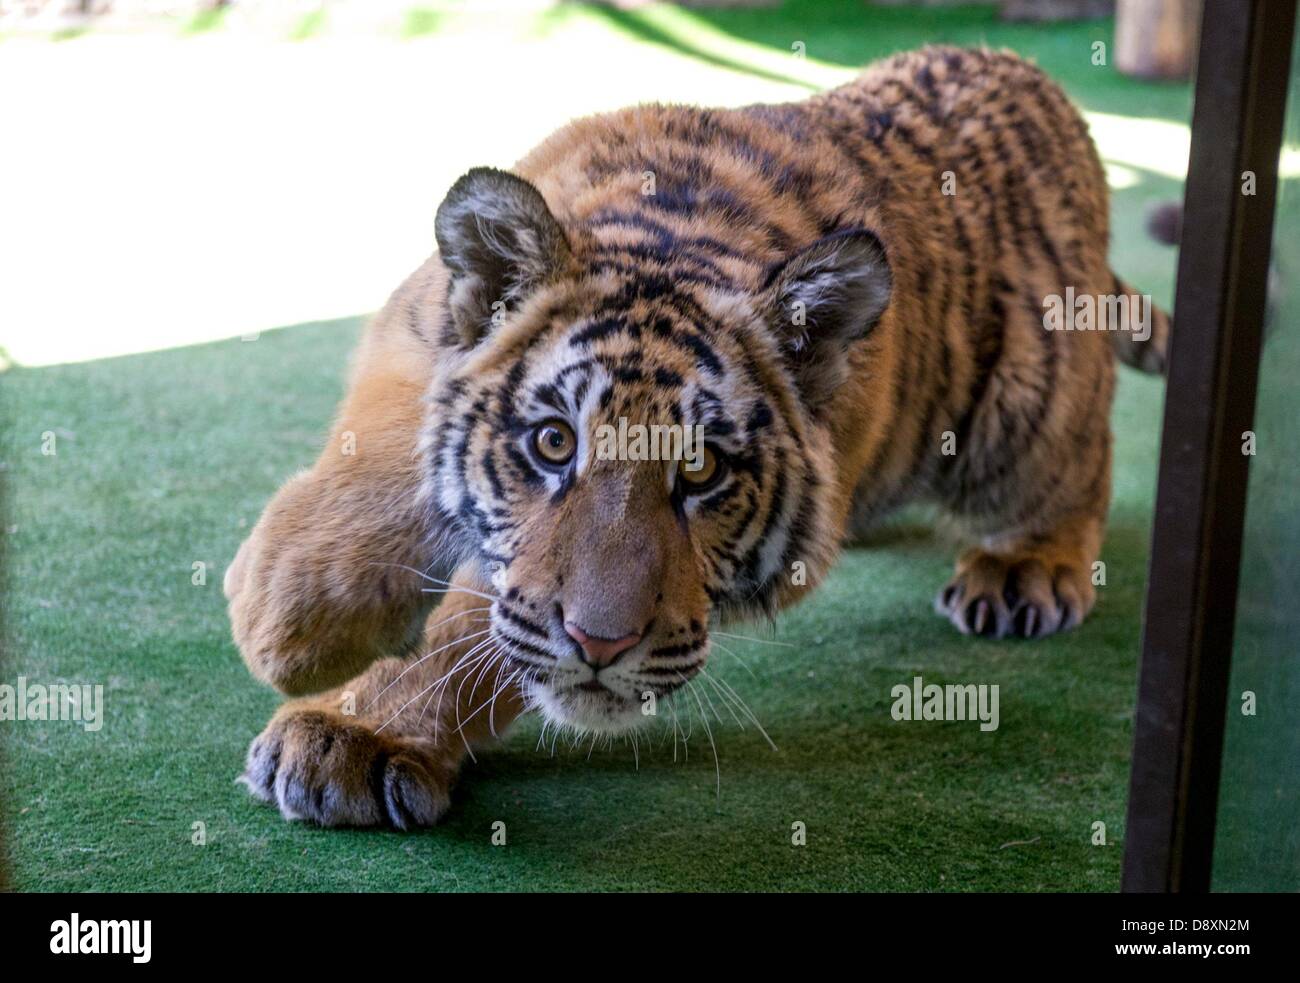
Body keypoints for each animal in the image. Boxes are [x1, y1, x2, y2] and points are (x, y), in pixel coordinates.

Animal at [225, 46, 1169, 829]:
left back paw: (1024, 570)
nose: (603, 647)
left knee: (1078, 467)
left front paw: (354, 736)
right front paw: (285, 616)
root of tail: (1040, 85)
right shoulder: (414, 326)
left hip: (1026, 406)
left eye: (704, 469)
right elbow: (386, 450)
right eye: (554, 444)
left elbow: (479, 627)